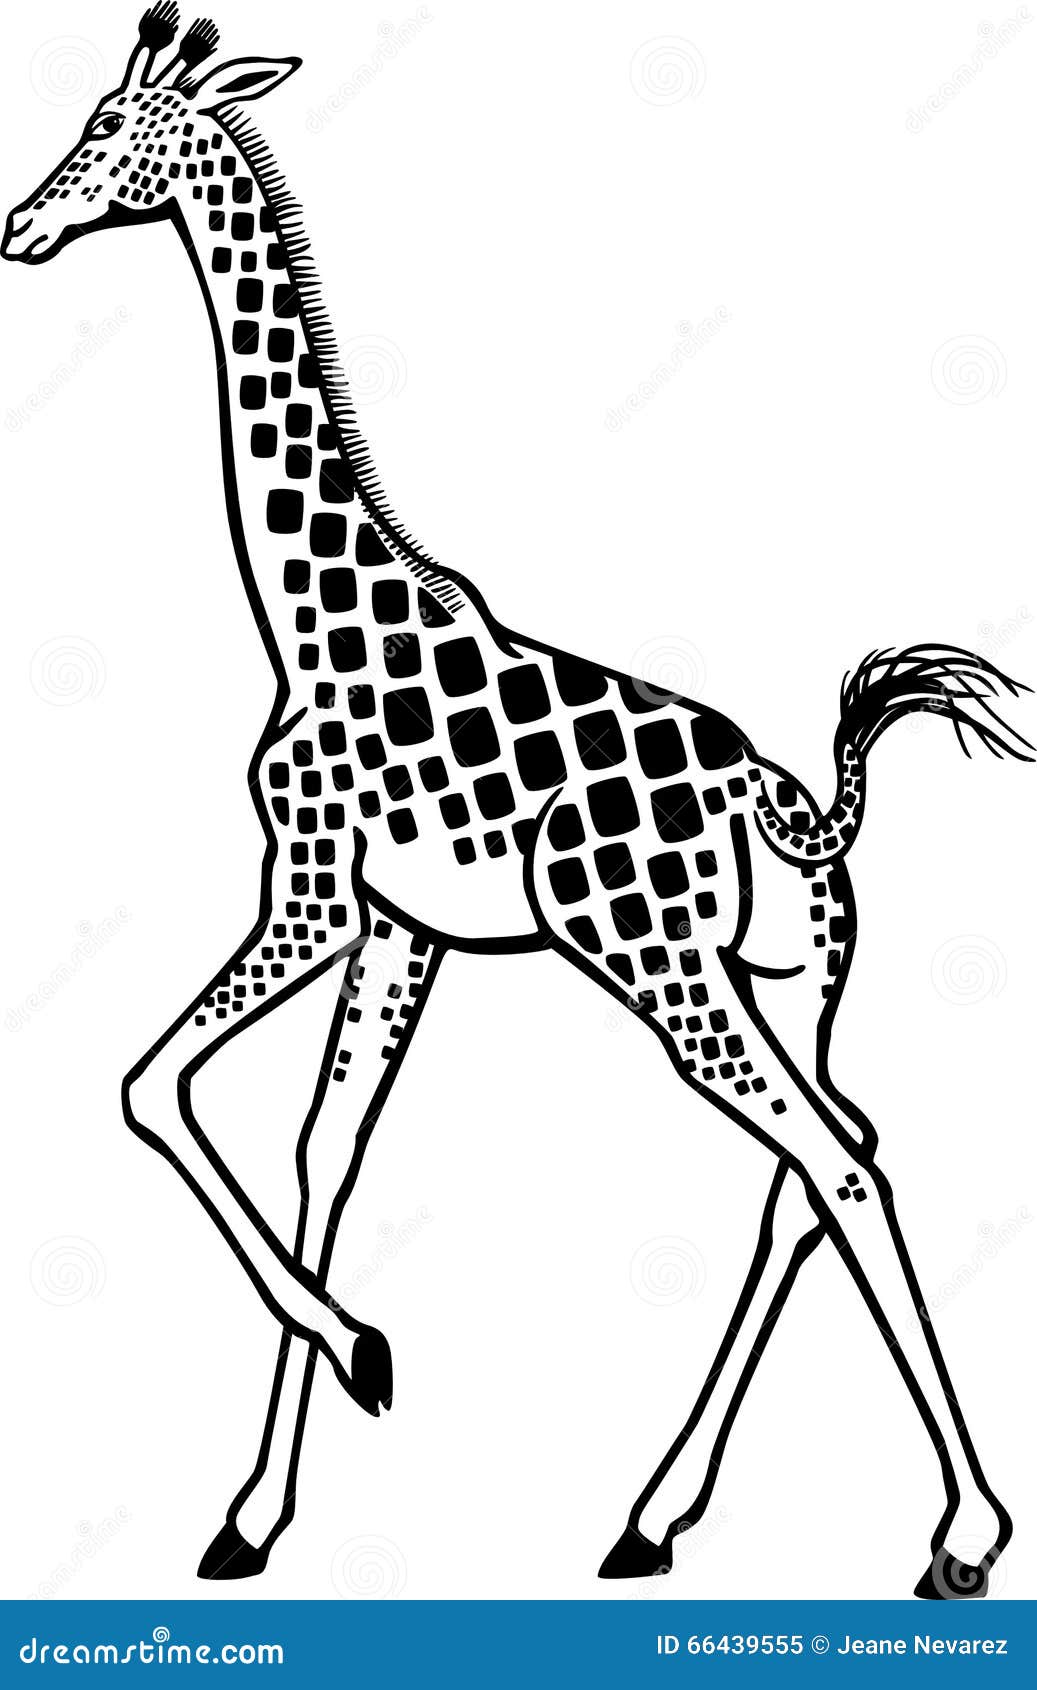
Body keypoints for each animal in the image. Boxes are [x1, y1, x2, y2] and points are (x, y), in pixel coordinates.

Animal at [4, 6, 1029, 1598]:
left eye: (110, 129)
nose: (18, 229)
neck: (308, 611)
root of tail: (787, 803)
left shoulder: (306, 889)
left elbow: (148, 1081)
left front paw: (361, 1351)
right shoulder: (397, 927)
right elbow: (322, 1153)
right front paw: (253, 1512)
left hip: (661, 965)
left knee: (831, 1162)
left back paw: (961, 1534)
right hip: (790, 978)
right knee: (826, 1155)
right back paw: (650, 1516)